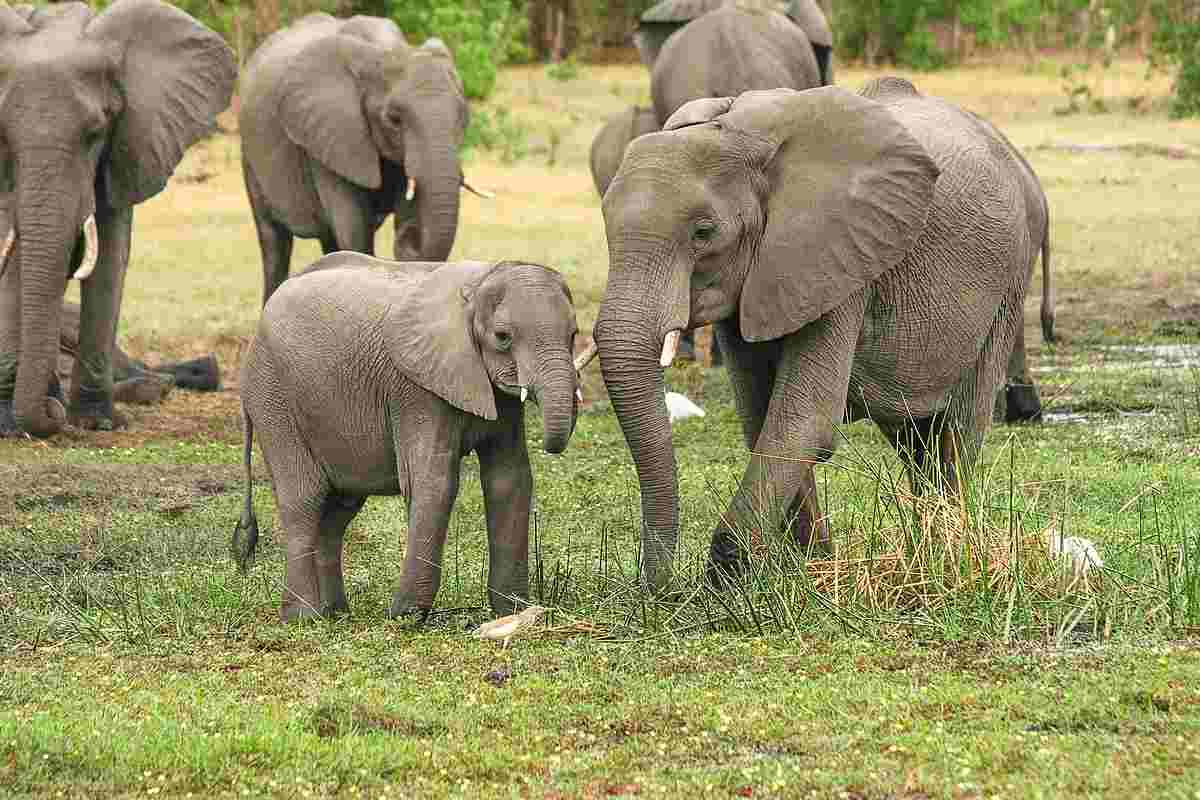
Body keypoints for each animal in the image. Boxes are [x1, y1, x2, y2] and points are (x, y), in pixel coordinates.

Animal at [0, 0, 236, 438]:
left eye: (95, 133)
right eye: (4, 135)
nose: (50, 413)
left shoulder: (129, 144)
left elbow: (110, 254)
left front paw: (96, 422)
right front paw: (8, 423)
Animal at [232, 253, 587, 622]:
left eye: (573, 334)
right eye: (502, 337)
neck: (478, 283)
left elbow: (510, 480)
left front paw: (513, 612)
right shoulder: (416, 389)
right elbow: (433, 481)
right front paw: (406, 617)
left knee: (338, 510)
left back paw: (336, 614)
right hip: (273, 398)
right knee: (304, 499)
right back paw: (303, 618)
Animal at [240, 14, 474, 306]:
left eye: (463, 117)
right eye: (394, 119)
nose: (409, 236)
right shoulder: (330, 136)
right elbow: (354, 229)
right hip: (250, 154)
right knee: (274, 243)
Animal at [594, 79, 1049, 590]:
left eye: (704, 232)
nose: (661, 589)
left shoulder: (841, 258)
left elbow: (804, 418)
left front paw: (729, 582)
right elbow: (760, 415)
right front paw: (810, 568)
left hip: (1010, 278)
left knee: (961, 425)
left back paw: (947, 552)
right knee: (916, 438)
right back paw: (925, 547)